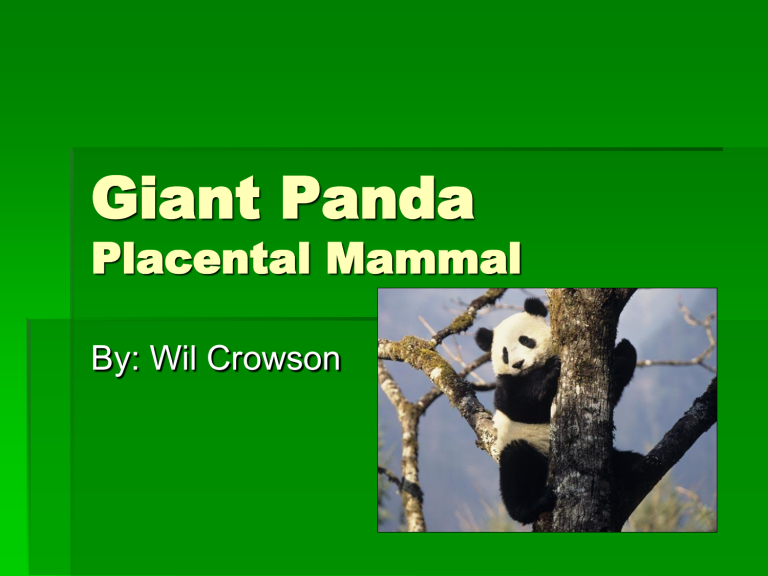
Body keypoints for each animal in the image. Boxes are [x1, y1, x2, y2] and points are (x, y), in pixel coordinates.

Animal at [475, 297, 642, 525]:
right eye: (505, 354)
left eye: (525, 340)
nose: (518, 364)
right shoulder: (506, 386)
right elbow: (519, 405)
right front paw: (551, 369)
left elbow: (613, 386)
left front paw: (623, 351)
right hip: (525, 445)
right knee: (517, 466)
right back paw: (532, 505)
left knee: (619, 460)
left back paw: (633, 464)